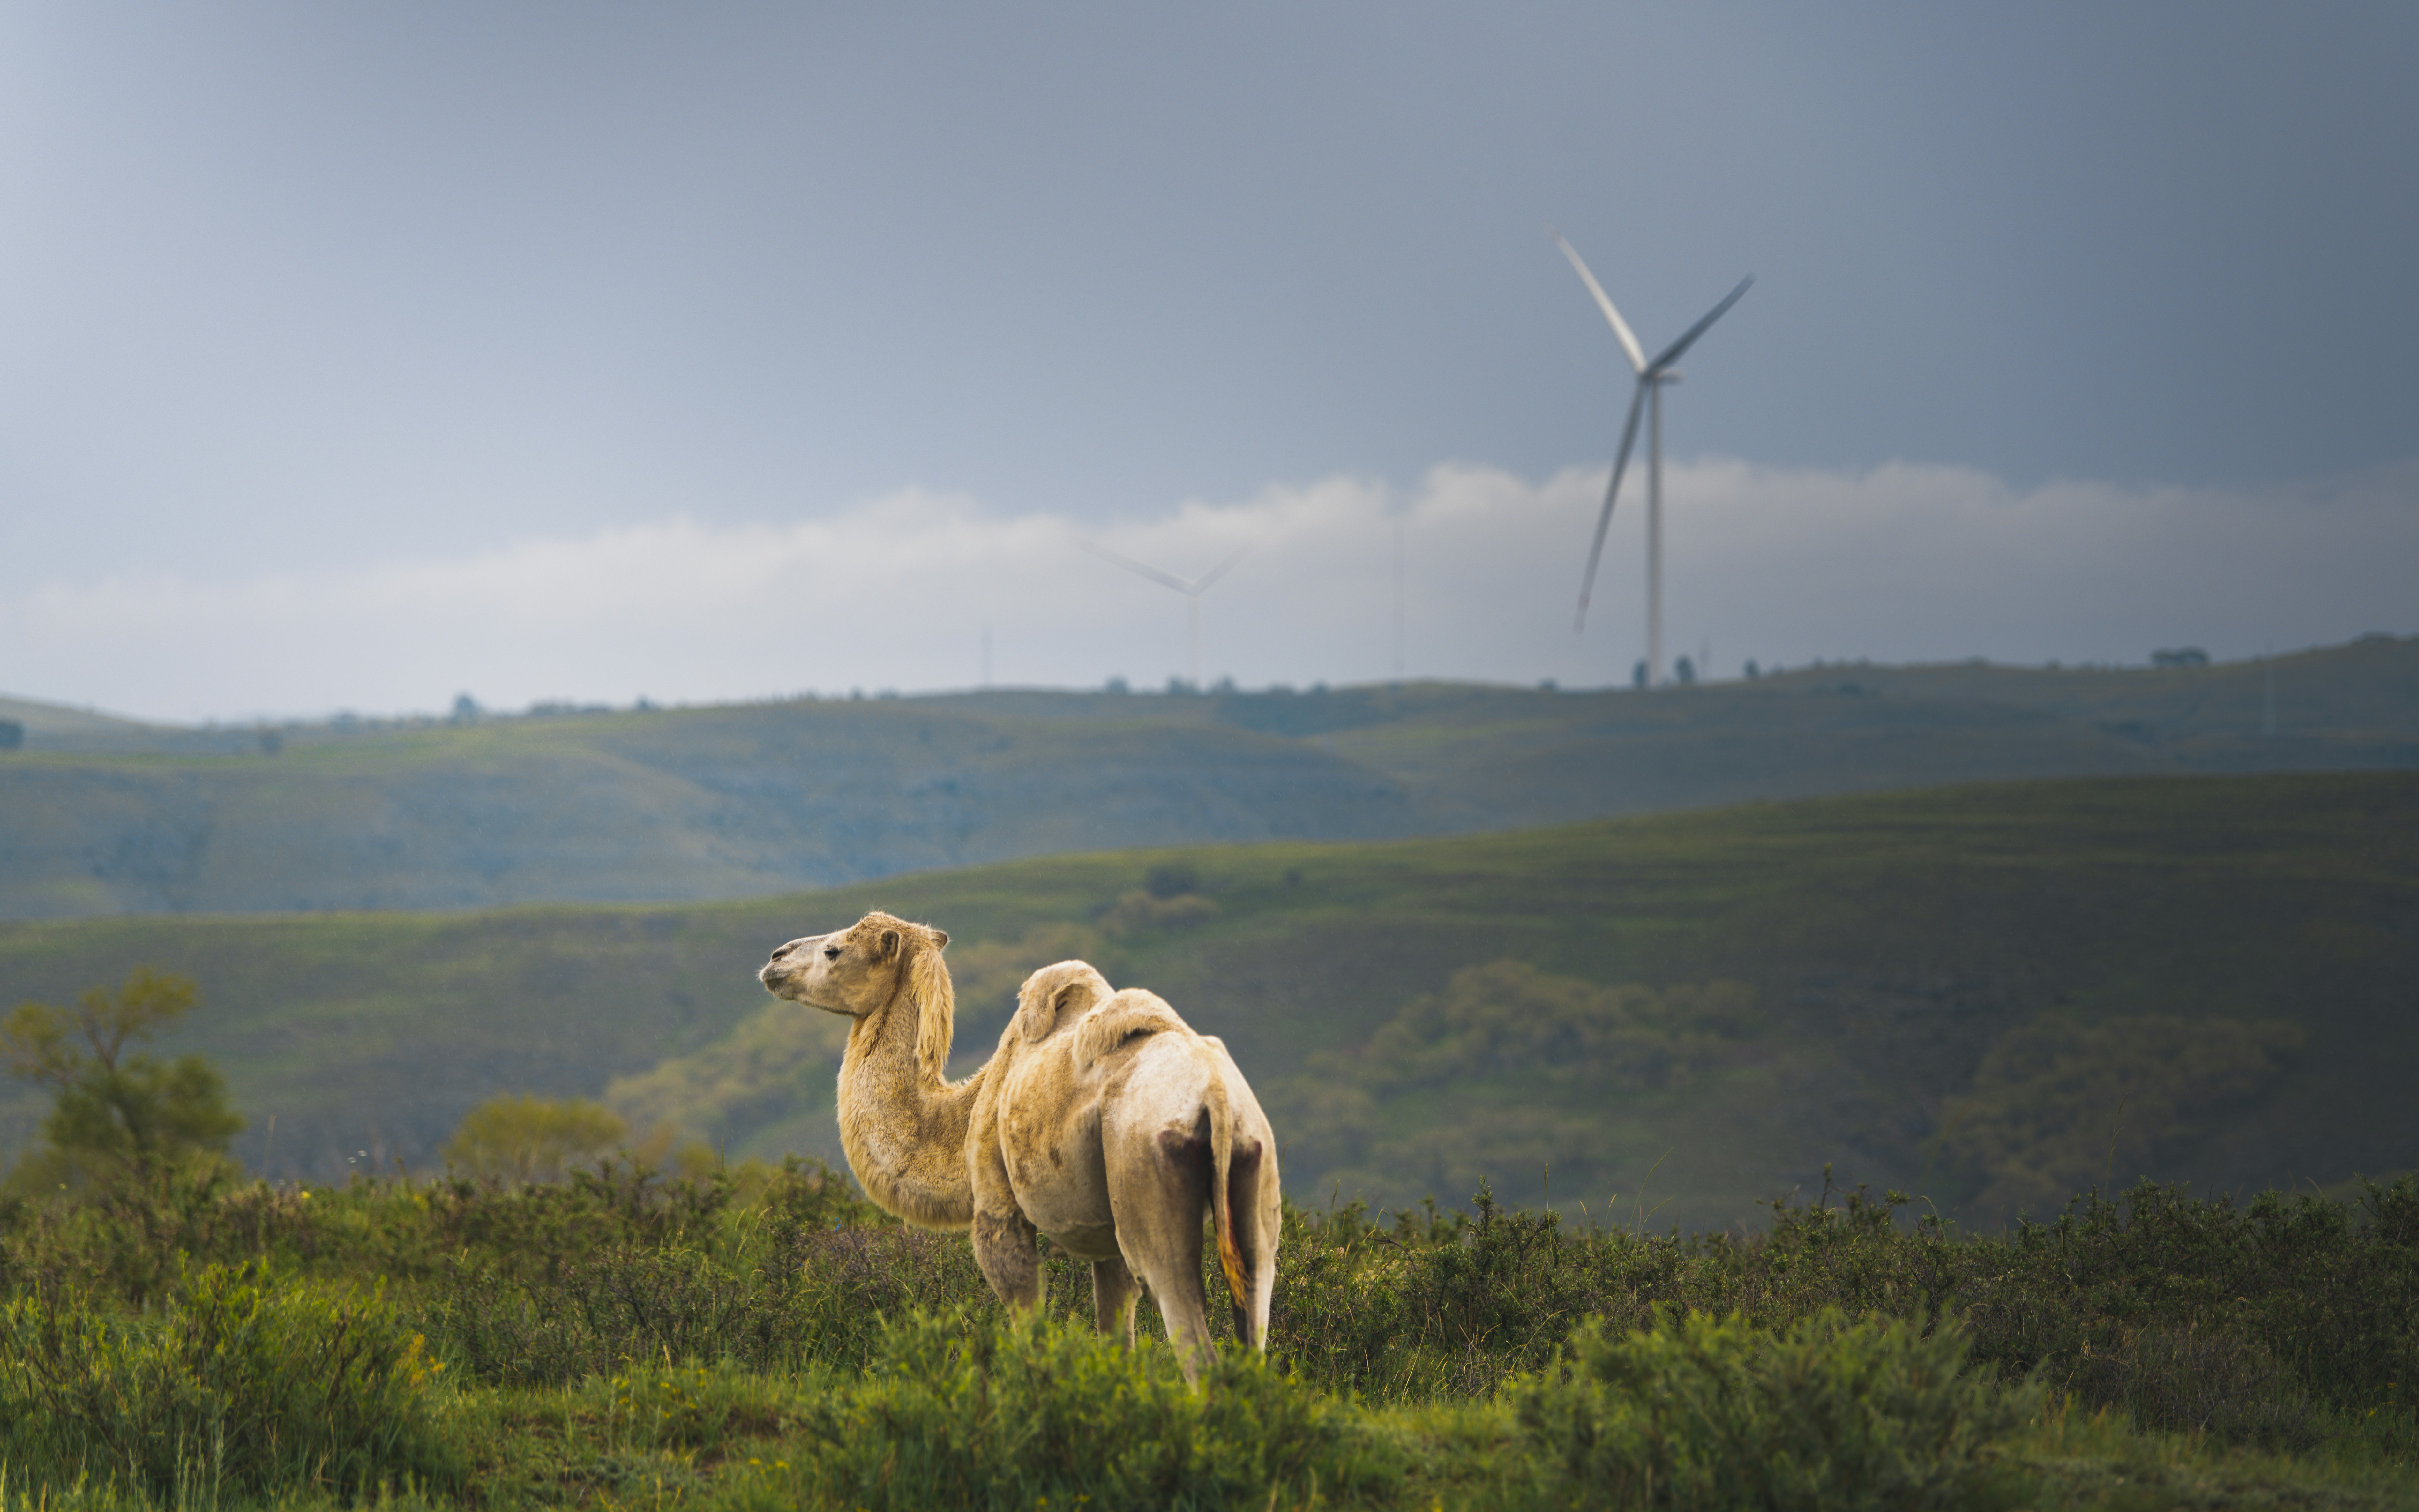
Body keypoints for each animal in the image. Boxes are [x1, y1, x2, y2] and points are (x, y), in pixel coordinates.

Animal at [757, 911, 1280, 1383]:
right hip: (1255, 1180)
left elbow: (1026, 1317)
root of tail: (1216, 1097)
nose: (775, 958)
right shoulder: (1106, 1237)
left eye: (834, 950)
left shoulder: (997, 1205)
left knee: (1190, 1335)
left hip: (1148, 1184)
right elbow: (1116, 1331)